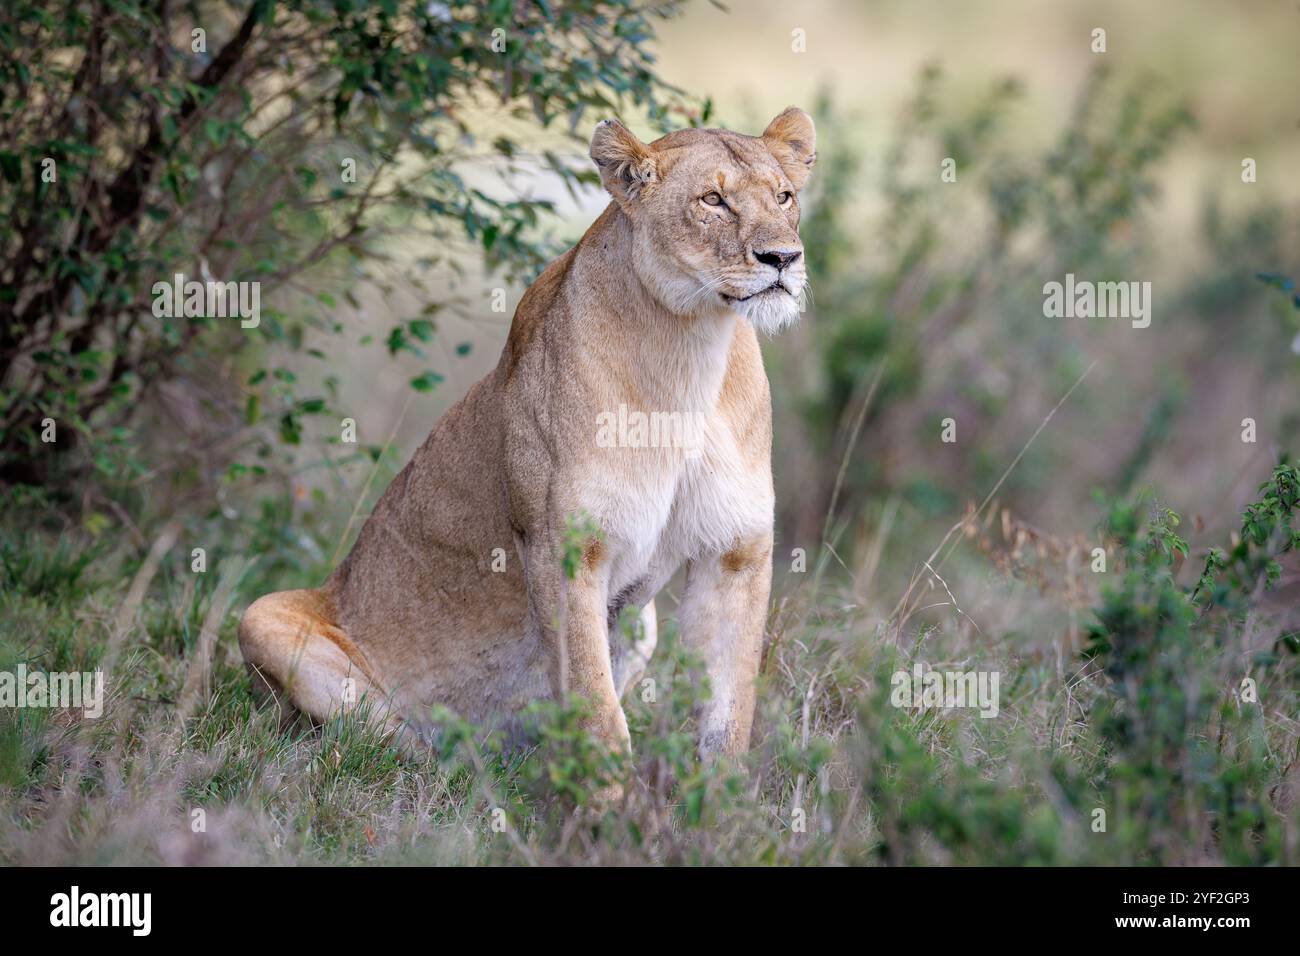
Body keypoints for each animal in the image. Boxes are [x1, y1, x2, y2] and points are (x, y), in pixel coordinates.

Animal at [238, 107, 816, 760]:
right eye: (712, 200)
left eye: (785, 196)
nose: (783, 258)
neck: (691, 351)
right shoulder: (563, 547)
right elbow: (596, 709)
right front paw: (610, 792)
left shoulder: (735, 552)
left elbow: (728, 715)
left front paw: (718, 791)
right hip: (262, 616)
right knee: (384, 741)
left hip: (642, 626)